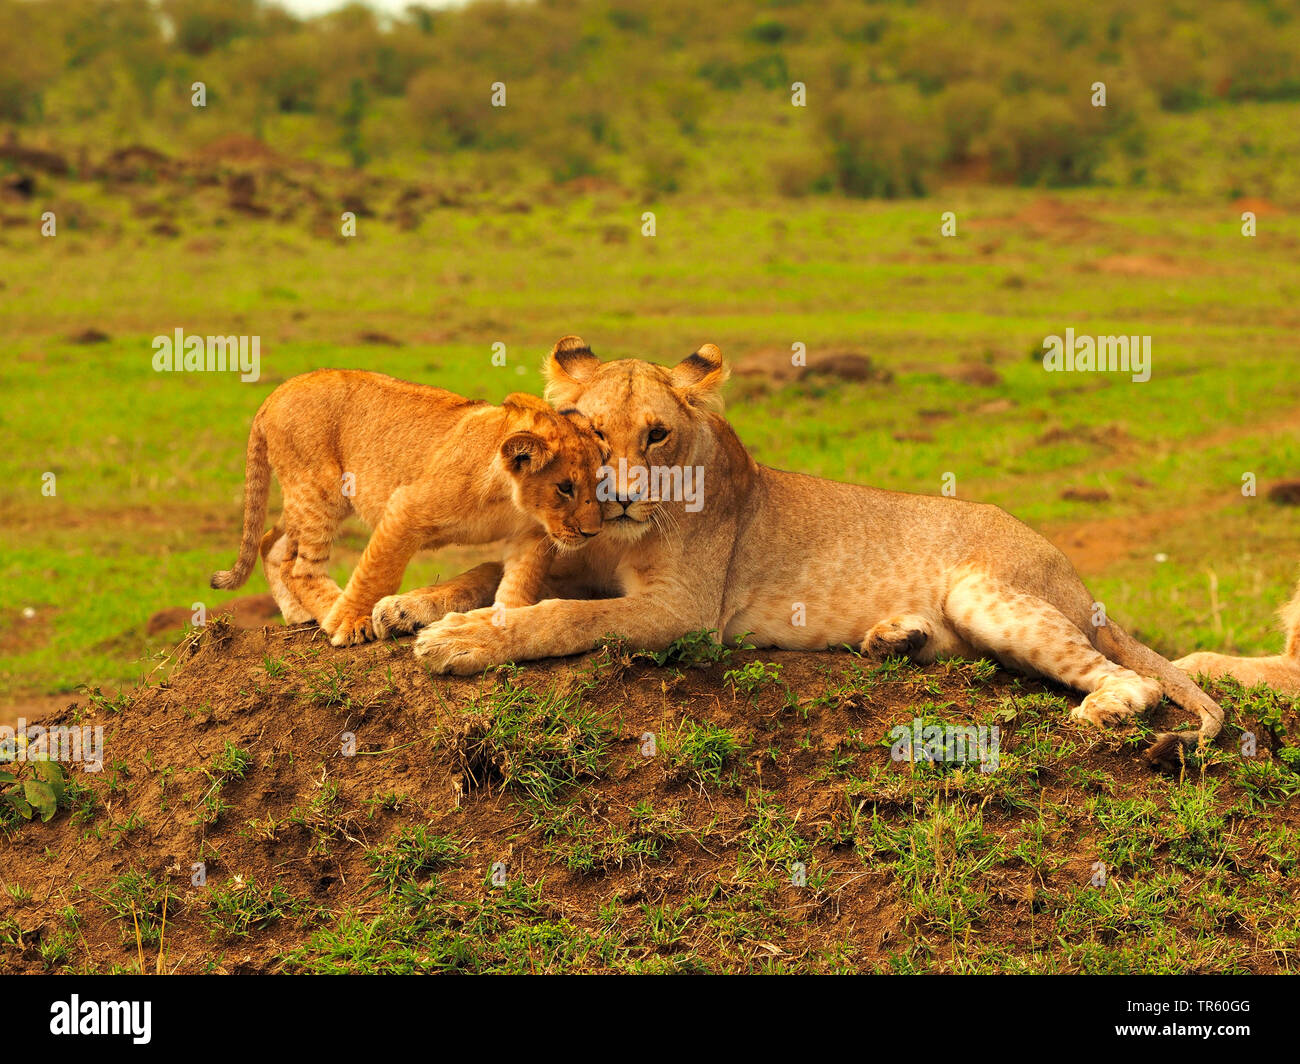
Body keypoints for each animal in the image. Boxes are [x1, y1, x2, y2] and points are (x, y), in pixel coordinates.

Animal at [210, 369, 606, 646]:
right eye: (565, 488)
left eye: (601, 483)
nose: (593, 532)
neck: (511, 502)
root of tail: (277, 391)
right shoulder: (407, 506)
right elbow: (378, 570)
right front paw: (351, 621)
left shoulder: (531, 536)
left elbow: (520, 583)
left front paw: (499, 623)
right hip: (320, 491)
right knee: (299, 568)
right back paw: (332, 614)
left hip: (305, 497)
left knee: (270, 544)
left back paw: (298, 615)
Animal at [390, 337, 1223, 766]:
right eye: (591, 430)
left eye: (655, 434)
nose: (620, 497)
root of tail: (1077, 578)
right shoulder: (577, 554)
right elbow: (485, 571)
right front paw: (404, 605)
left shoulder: (682, 610)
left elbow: (564, 618)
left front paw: (463, 640)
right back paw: (894, 637)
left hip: (985, 593)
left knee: (1128, 679)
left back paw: (1101, 712)